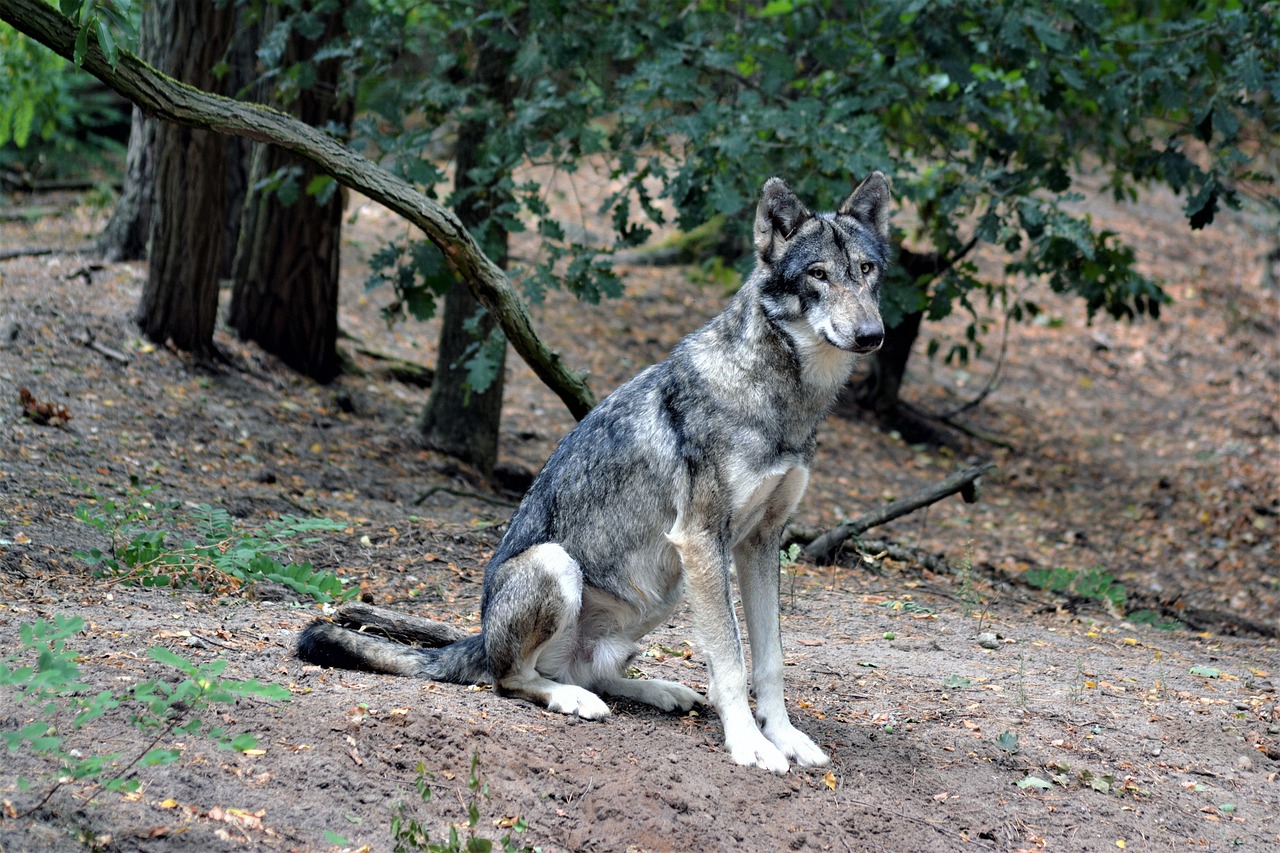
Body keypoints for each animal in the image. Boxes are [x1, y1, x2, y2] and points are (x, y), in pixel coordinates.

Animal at [298, 173, 890, 773]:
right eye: (818, 274)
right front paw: (750, 743)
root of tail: (480, 636)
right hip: (563, 565)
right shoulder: (704, 541)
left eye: (866, 270)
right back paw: (571, 699)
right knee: (513, 680)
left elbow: (770, 659)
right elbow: (731, 659)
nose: (872, 335)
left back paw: (660, 690)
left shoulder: (761, 543)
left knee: (593, 672)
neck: (781, 397)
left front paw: (786, 737)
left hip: (662, 587)